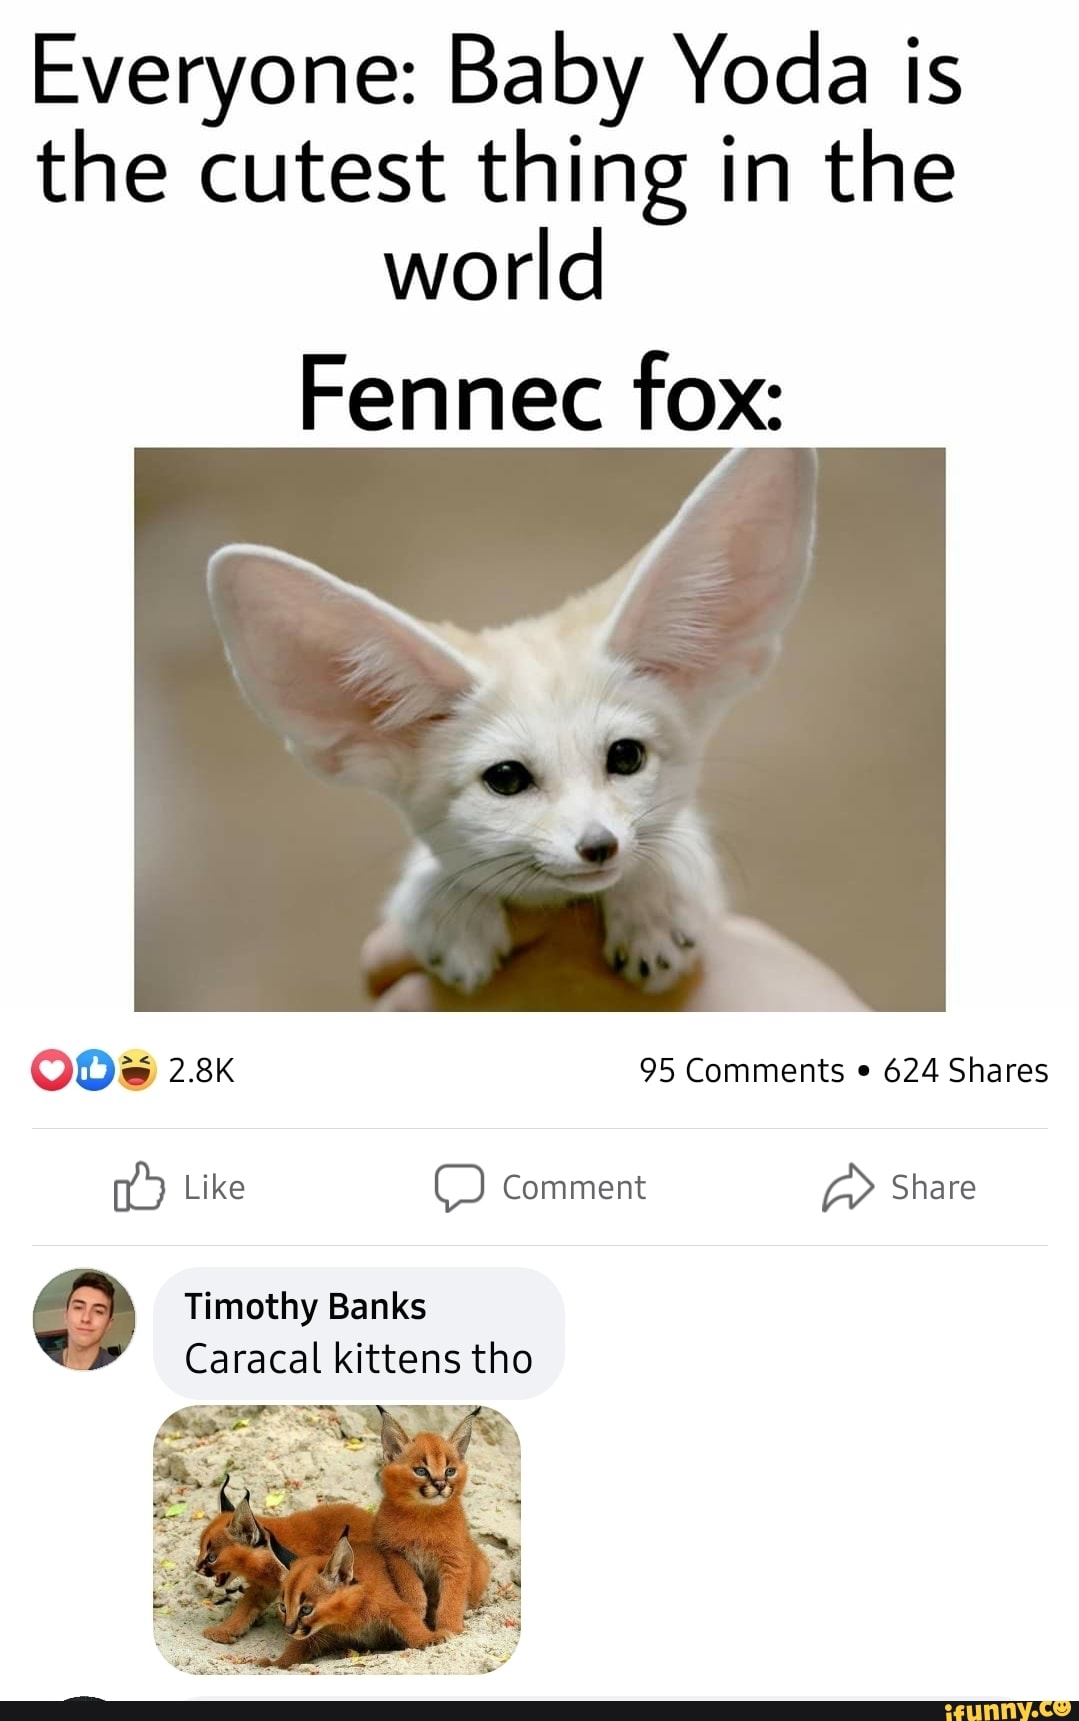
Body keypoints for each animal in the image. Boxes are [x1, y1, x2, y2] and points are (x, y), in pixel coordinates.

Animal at [194, 1473, 373, 1644]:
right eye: (200, 1549)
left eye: (211, 1557)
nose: (196, 1568)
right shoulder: (263, 1588)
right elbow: (245, 1607)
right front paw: (224, 1630)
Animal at [208, 447, 816, 995]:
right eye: (506, 779)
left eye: (626, 756)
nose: (599, 846)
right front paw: (449, 906)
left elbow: (673, 839)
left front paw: (653, 903)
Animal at [259, 1525, 447, 1668]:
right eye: (283, 1607)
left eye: (306, 1609)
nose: (288, 1629)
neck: (346, 1619)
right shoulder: (318, 1634)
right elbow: (297, 1646)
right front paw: (276, 1663)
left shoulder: (393, 1607)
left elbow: (409, 1621)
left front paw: (428, 1638)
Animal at [373, 1407, 490, 1636]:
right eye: (421, 1471)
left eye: (450, 1471)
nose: (440, 1484)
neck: (423, 1514)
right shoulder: (393, 1552)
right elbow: (409, 1583)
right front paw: (415, 1612)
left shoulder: (455, 1560)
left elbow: (452, 1597)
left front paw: (448, 1629)